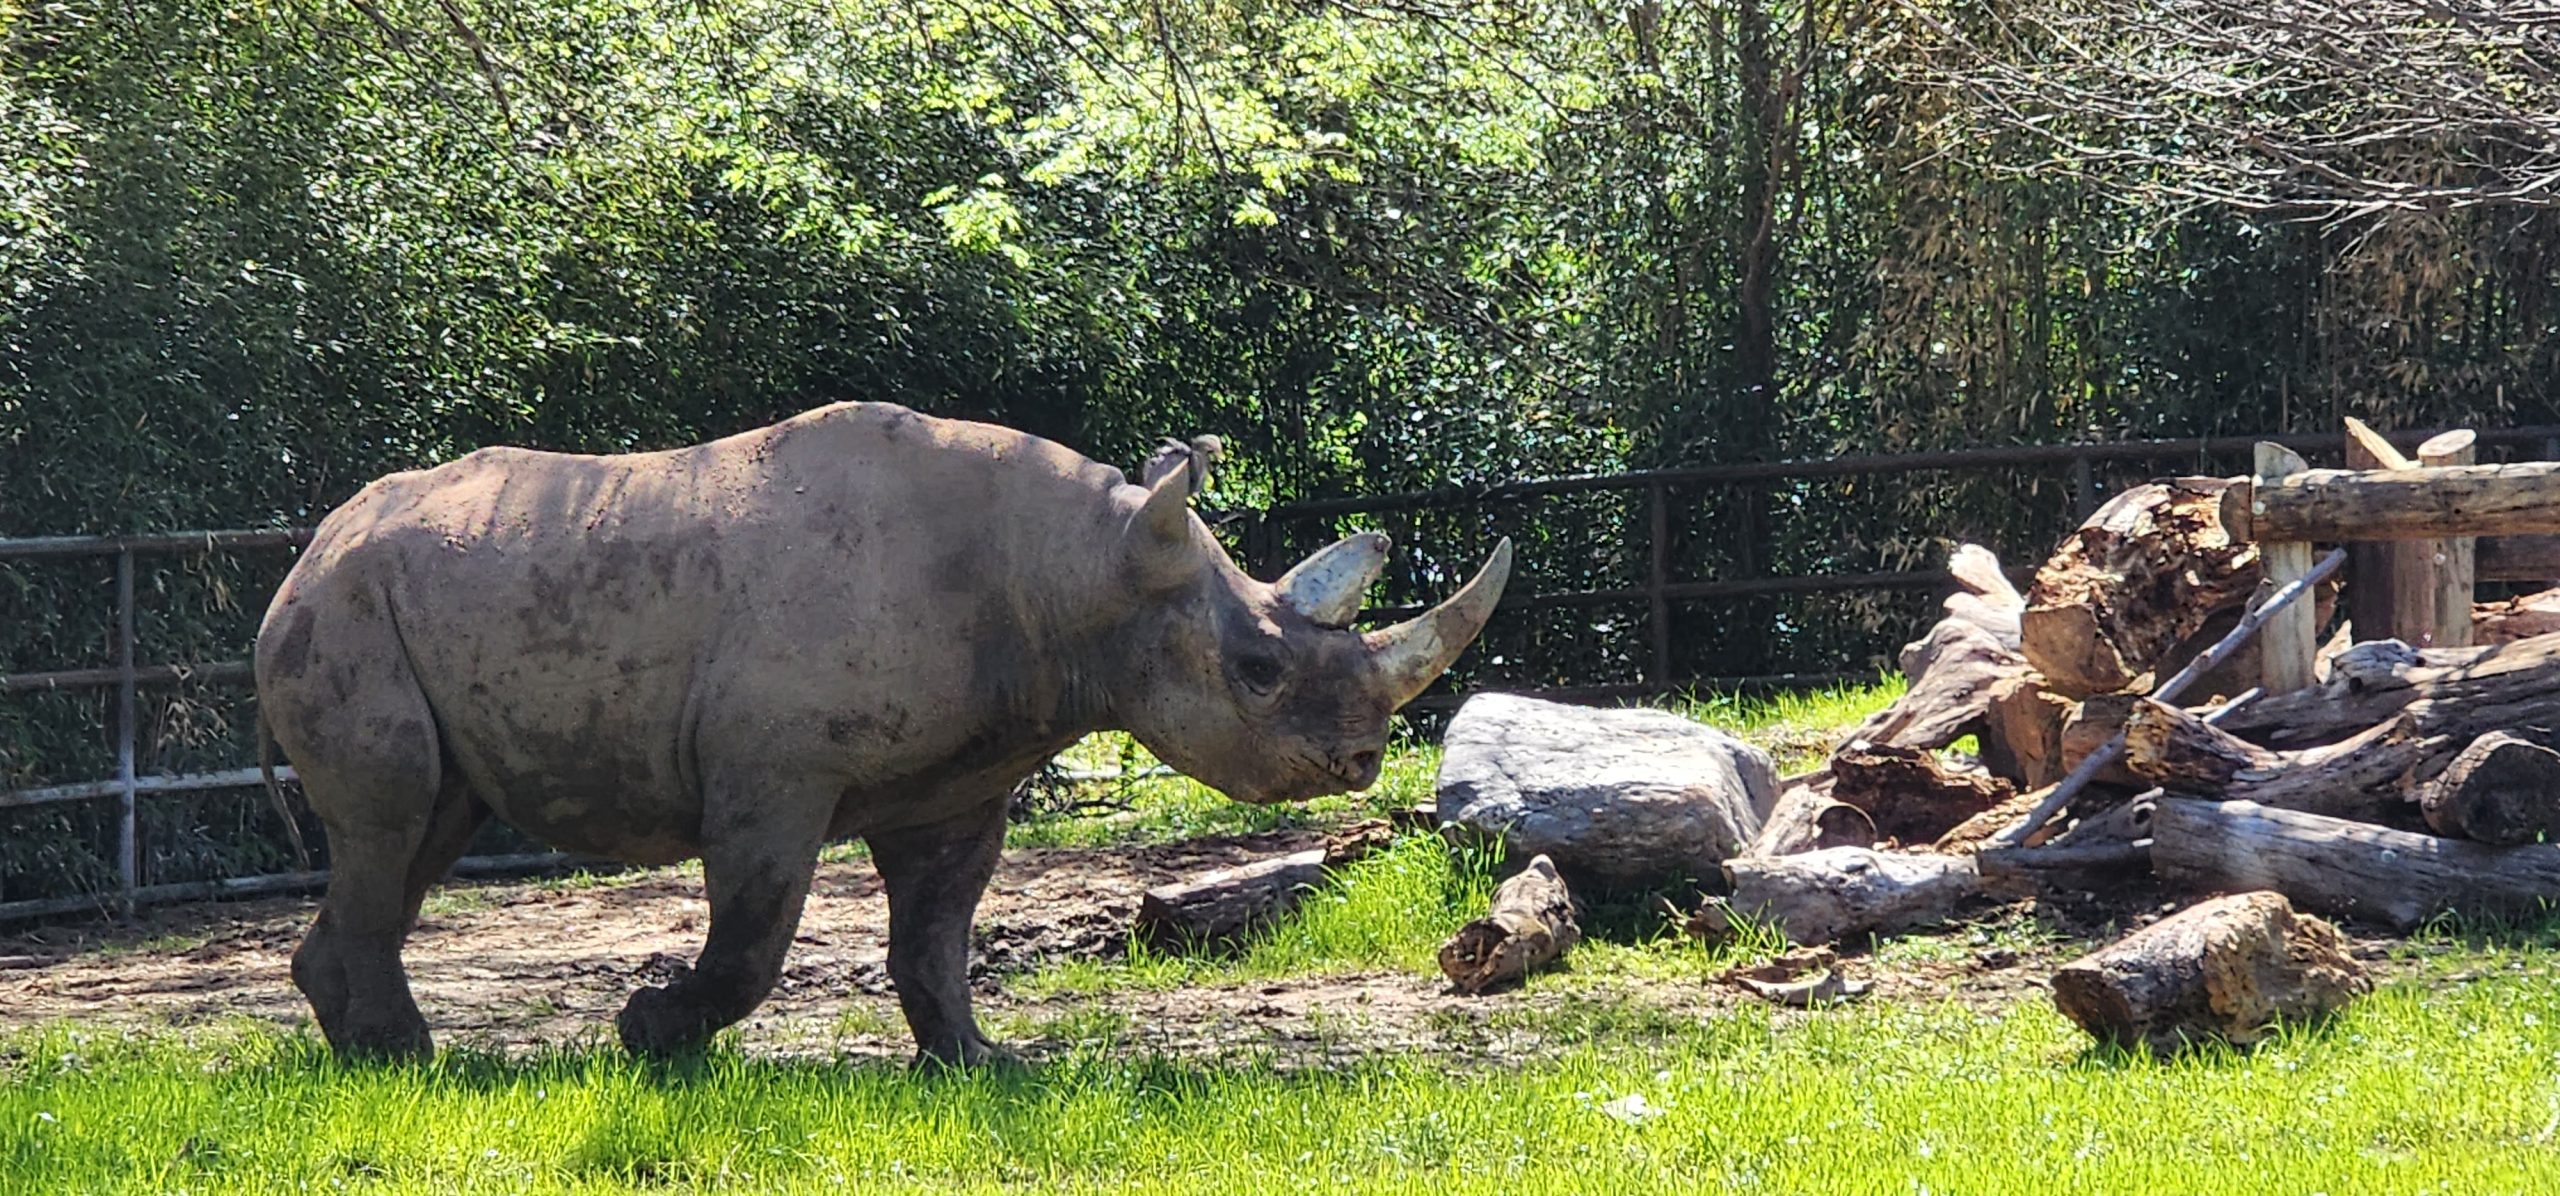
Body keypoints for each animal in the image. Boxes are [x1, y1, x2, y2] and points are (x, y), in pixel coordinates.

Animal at [254, 401, 1509, 1064]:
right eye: (1255, 672)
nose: (1360, 761)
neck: (1080, 572)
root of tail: (310, 544)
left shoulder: (960, 775)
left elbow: (937, 934)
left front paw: (976, 1064)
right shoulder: (772, 771)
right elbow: (755, 935)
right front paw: (650, 1031)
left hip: (401, 597)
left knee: (426, 825)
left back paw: (379, 1050)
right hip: (348, 606)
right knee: (393, 815)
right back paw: (403, 1061)